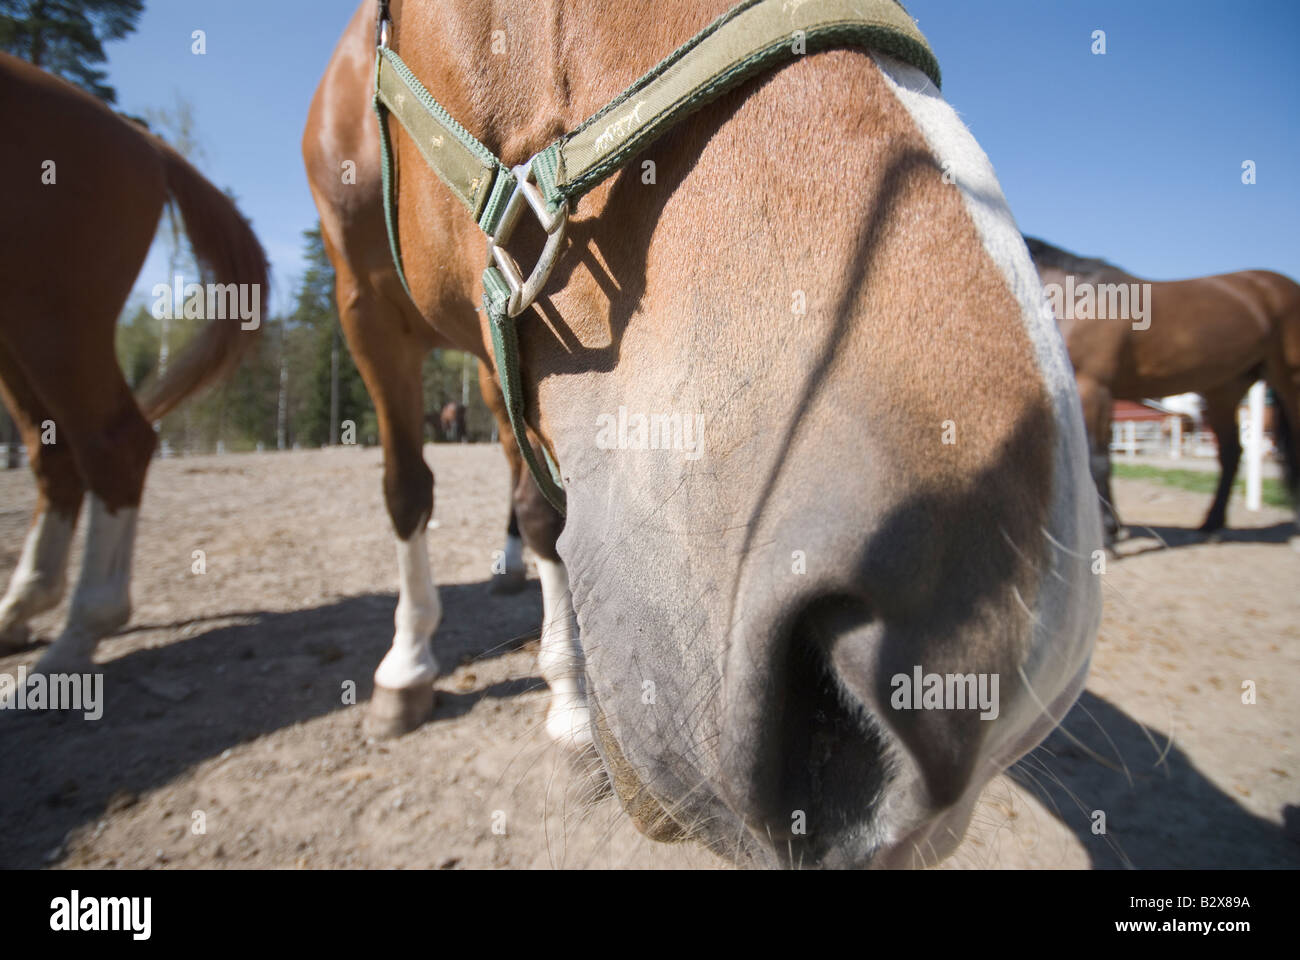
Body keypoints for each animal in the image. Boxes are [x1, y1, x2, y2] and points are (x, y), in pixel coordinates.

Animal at [305, 0, 1102, 868]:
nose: (986, 644)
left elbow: (544, 514)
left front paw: (565, 693)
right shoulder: (363, 311)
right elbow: (407, 492)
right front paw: (405, 669)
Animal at [1025, 236, 1300, 543]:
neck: (1074, 299)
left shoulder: (1093, 387)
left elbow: (1097, 460)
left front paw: (1108, 533)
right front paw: (1114, 527)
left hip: (1290, 380)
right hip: (1223, 391)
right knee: (1231, 454)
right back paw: (1211, 525)